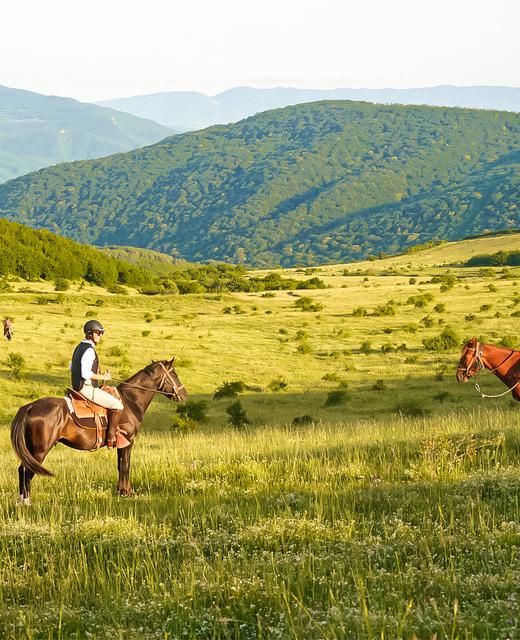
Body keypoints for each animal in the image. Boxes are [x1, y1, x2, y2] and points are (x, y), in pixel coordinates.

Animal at [11, 358, 188, 503]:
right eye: (174, 373)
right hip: (40, 450)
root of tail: (30, 406)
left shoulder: (121, 444)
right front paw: (126, 492)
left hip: (31, 449)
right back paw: (27, 502)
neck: (130, 401)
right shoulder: (128, 442)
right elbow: (126, 465)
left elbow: (120, 466)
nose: (184, 394)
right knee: (28, 471)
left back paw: (21, 500)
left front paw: (121, 490)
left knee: (22, 469)